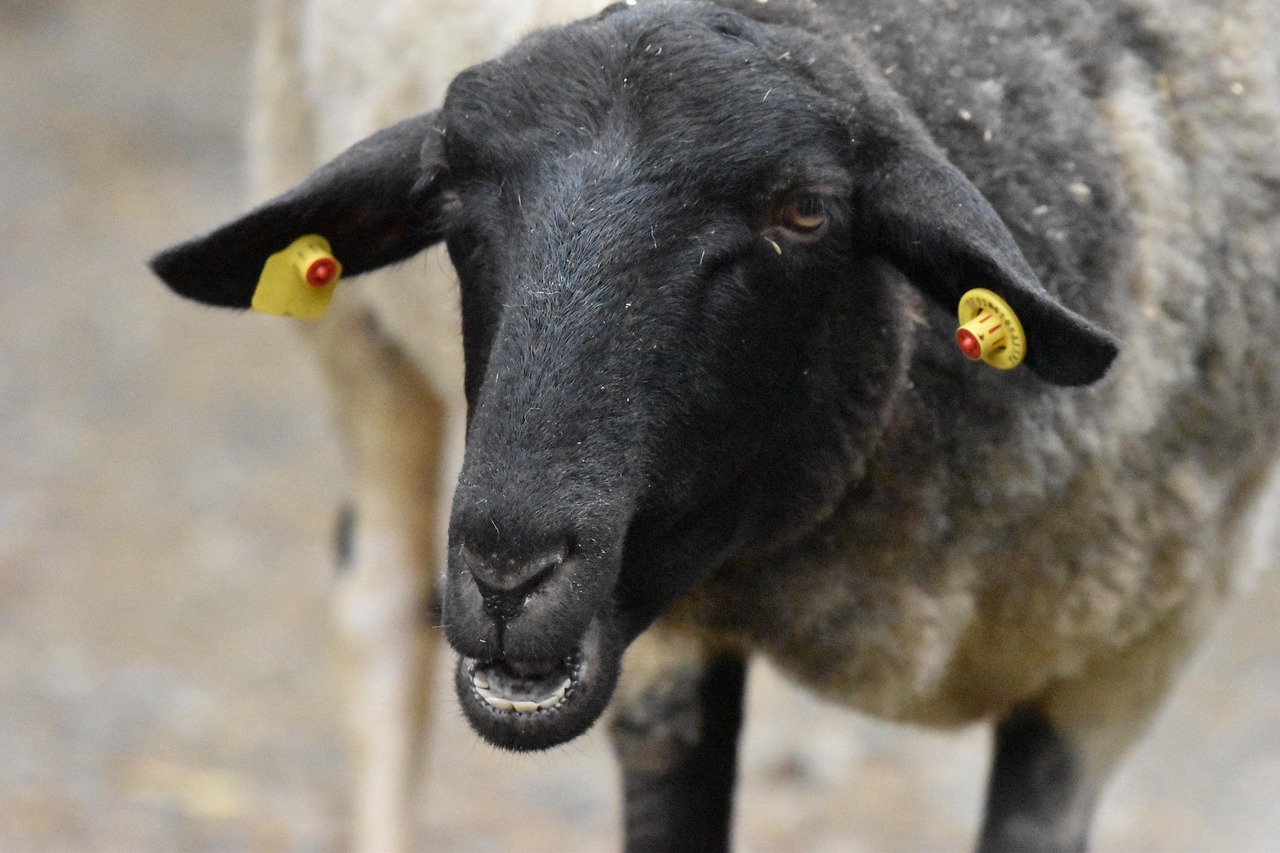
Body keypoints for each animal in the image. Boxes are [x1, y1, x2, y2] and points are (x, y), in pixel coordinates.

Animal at [151, 0, 1280, 849]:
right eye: (449, 201)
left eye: (804, 212)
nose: (509, 573)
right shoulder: (664, 649)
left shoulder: (1123, 665)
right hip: (356, 329)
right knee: (379, 611)